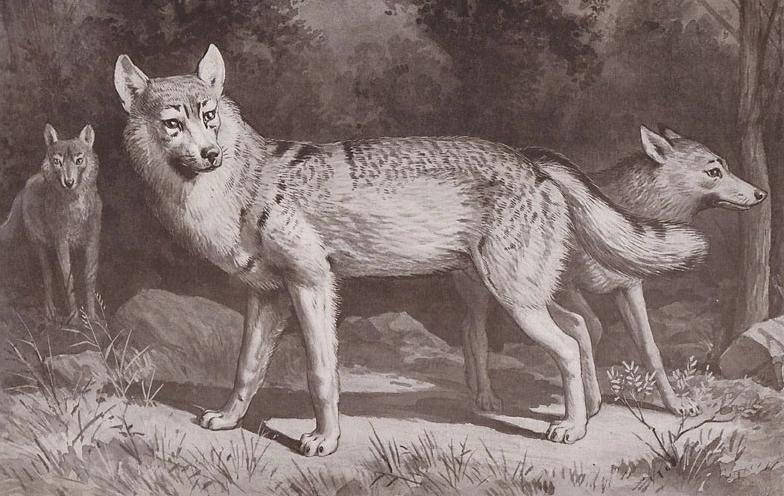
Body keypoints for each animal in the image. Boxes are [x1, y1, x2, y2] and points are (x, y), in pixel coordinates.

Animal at [0, 124, 102, 321]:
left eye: (79, 160)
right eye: (57, 162)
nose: (69, 182)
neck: (75, 206)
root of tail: (23, 189)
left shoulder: (92, 242)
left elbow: (89, 279)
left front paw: (93, 318)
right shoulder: (62, 242)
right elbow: (69, 281)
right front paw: (75, 318)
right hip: (41, 248)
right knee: (47, 277)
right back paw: (51, 312)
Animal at [113, 44, 708, 456]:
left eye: (210, 115)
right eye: (174, 122)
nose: (211, 154)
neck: (244, 184)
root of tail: (531, 159)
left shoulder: (312, 287)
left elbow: (321, 374)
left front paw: (324, 441)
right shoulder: (266, 299)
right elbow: (245, 371)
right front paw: (228, 419)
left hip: (518, 301)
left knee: (565, 344)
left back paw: (573, 427)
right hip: (519, 294)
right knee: (582, 329)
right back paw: (588, 409)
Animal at [460, 127, 767, 418]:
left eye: (726, 167)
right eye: (714, 172)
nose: (761, 193)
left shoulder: (628, 288)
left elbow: (648, 348)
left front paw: (675, 404)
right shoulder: (564, 287)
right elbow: (588, 327)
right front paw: (586, 398)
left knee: (468, 331)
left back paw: (471, 385)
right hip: (483, 289)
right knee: (476, 334)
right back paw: (484, 394)